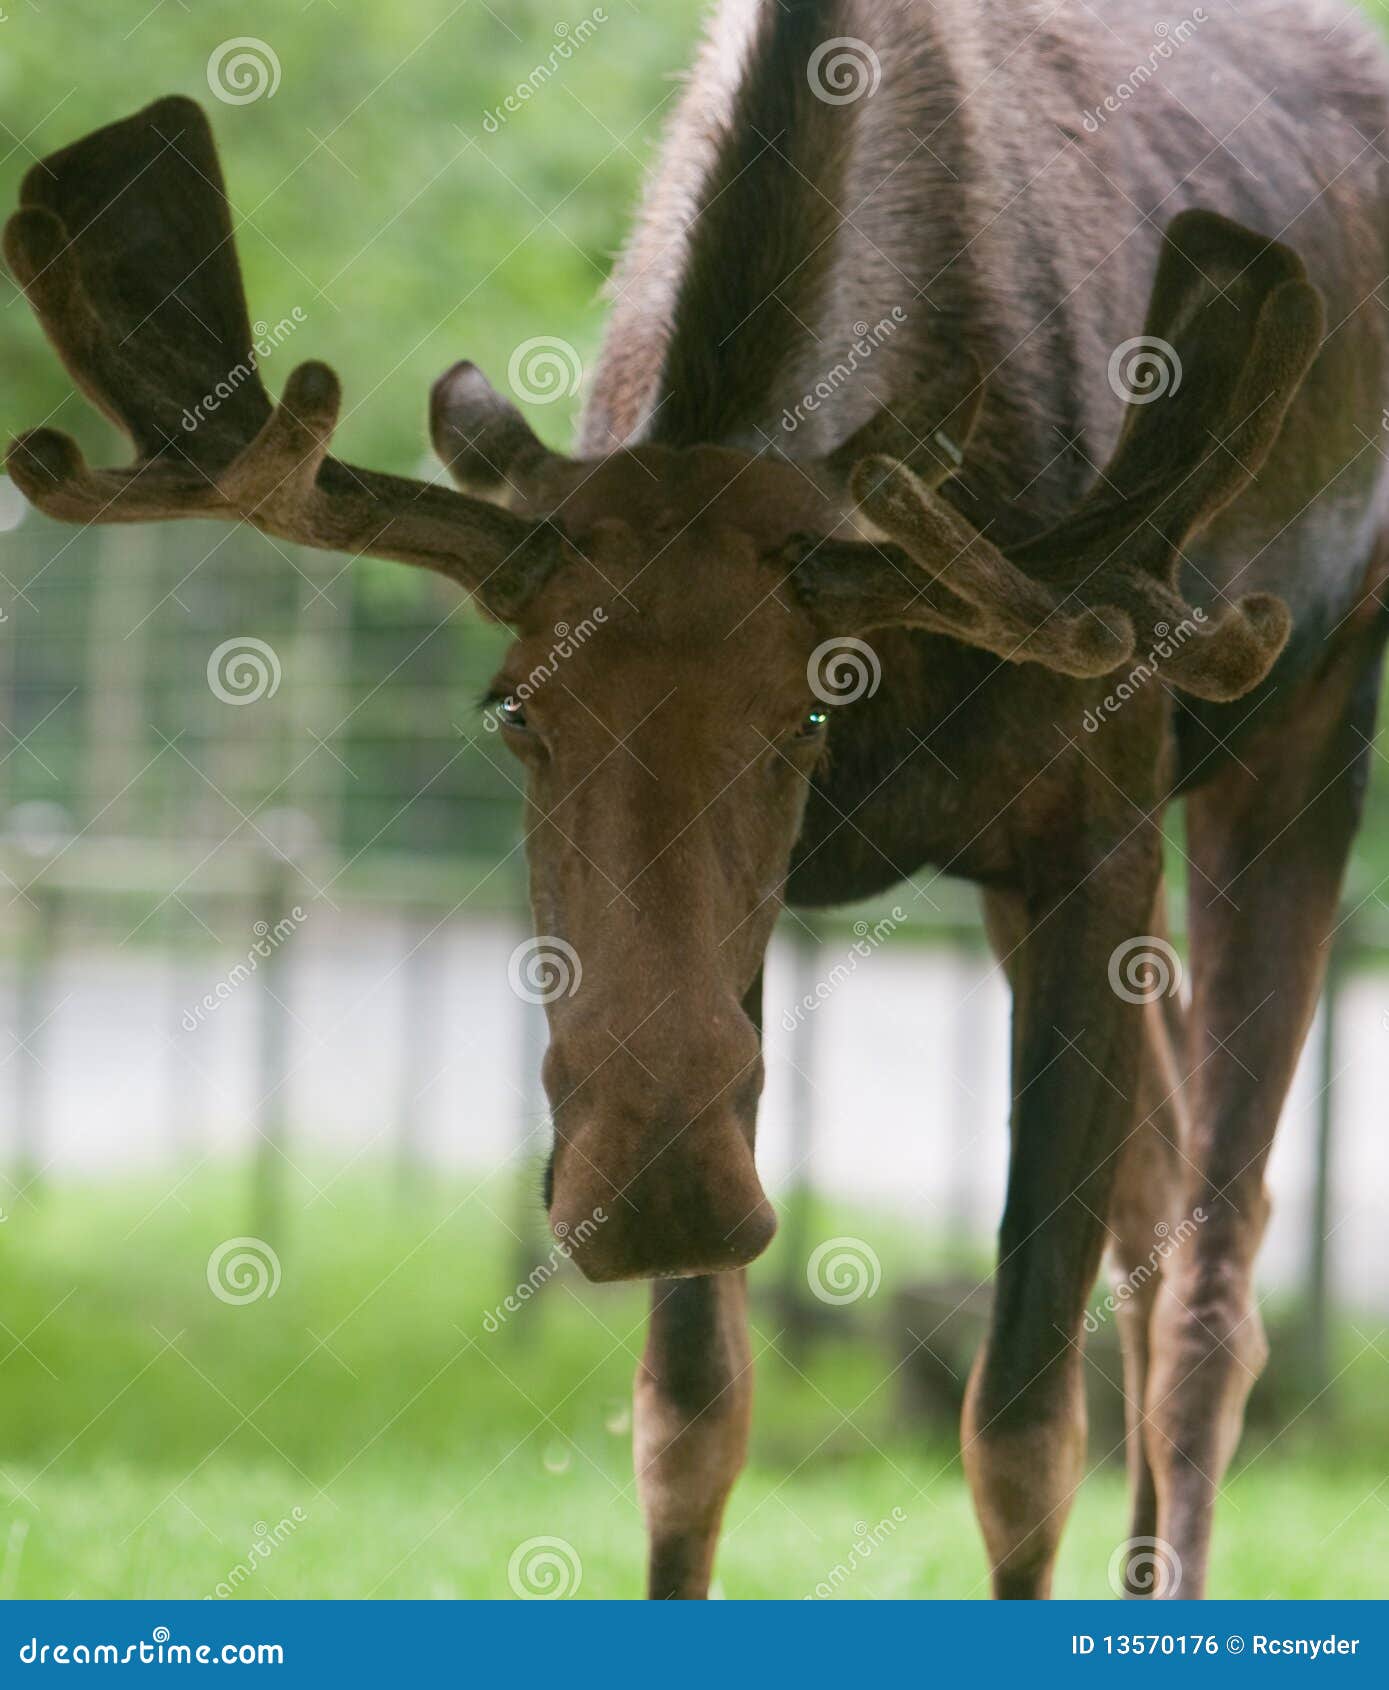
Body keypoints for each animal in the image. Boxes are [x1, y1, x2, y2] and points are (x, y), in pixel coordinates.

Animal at [6, 0, 1389, 1601]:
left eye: (812, 712)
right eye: (512, 713)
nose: (657, 1188)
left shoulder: (1093, 834)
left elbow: (1022, 1428)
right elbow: (687, 1416)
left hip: (1303, 722)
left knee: (1217, 1283)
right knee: (1161, 1207)